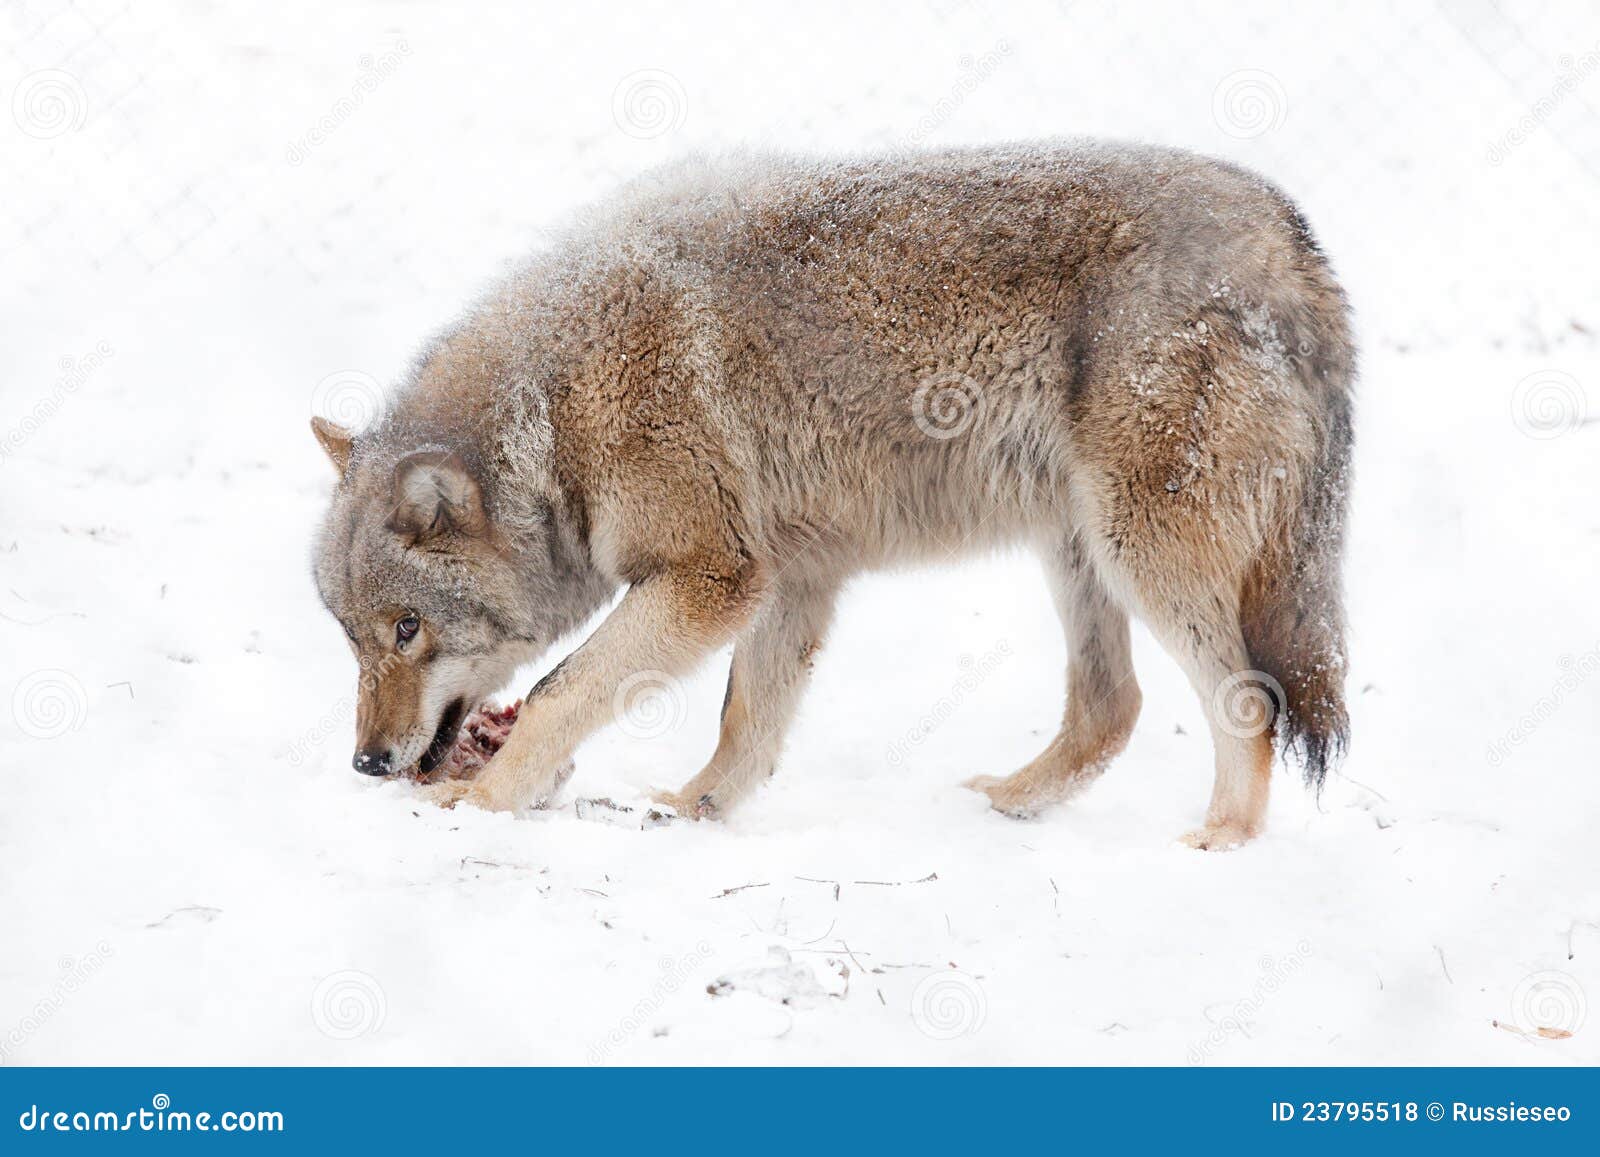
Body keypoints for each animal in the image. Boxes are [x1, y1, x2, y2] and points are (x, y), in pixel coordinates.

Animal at [311, 141, 1354, 848]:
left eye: (408, 628)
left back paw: (1219, 840)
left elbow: (560, 690)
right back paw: (1010, 803)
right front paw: (689, 812)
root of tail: (1292, 232)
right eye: (353, 637)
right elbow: (745, 722)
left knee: (1251, 702)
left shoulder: (714, 578)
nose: (365, 763)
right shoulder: (792, 579)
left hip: (1142, 553)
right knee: (1113, 708)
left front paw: (483, 804)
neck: (563, 401)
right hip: (1078, 550)